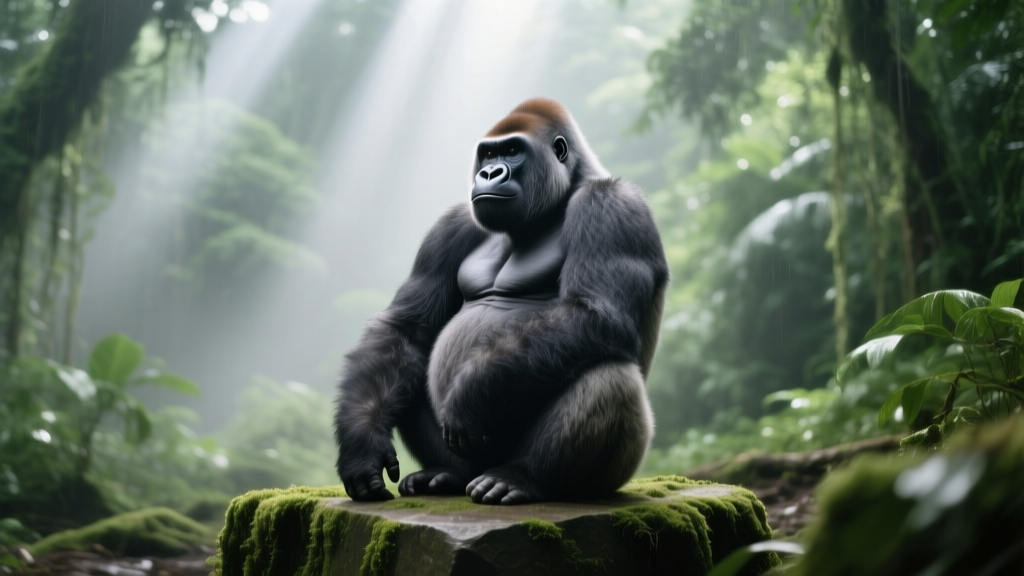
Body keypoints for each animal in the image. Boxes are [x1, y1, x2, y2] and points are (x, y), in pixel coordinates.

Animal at [334, 98, 668, 505]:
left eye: (512, 150)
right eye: (489, 154)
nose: (490, 173)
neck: (569, 186)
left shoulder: (612, 205)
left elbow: (596, 313)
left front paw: (471, 393)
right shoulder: (453, 223)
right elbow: (406, 329)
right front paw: (361, 444)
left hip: (607, 477)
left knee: (609, 375)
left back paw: (523, 477)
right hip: (466, 459)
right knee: (408, 361)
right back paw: (445, 474)